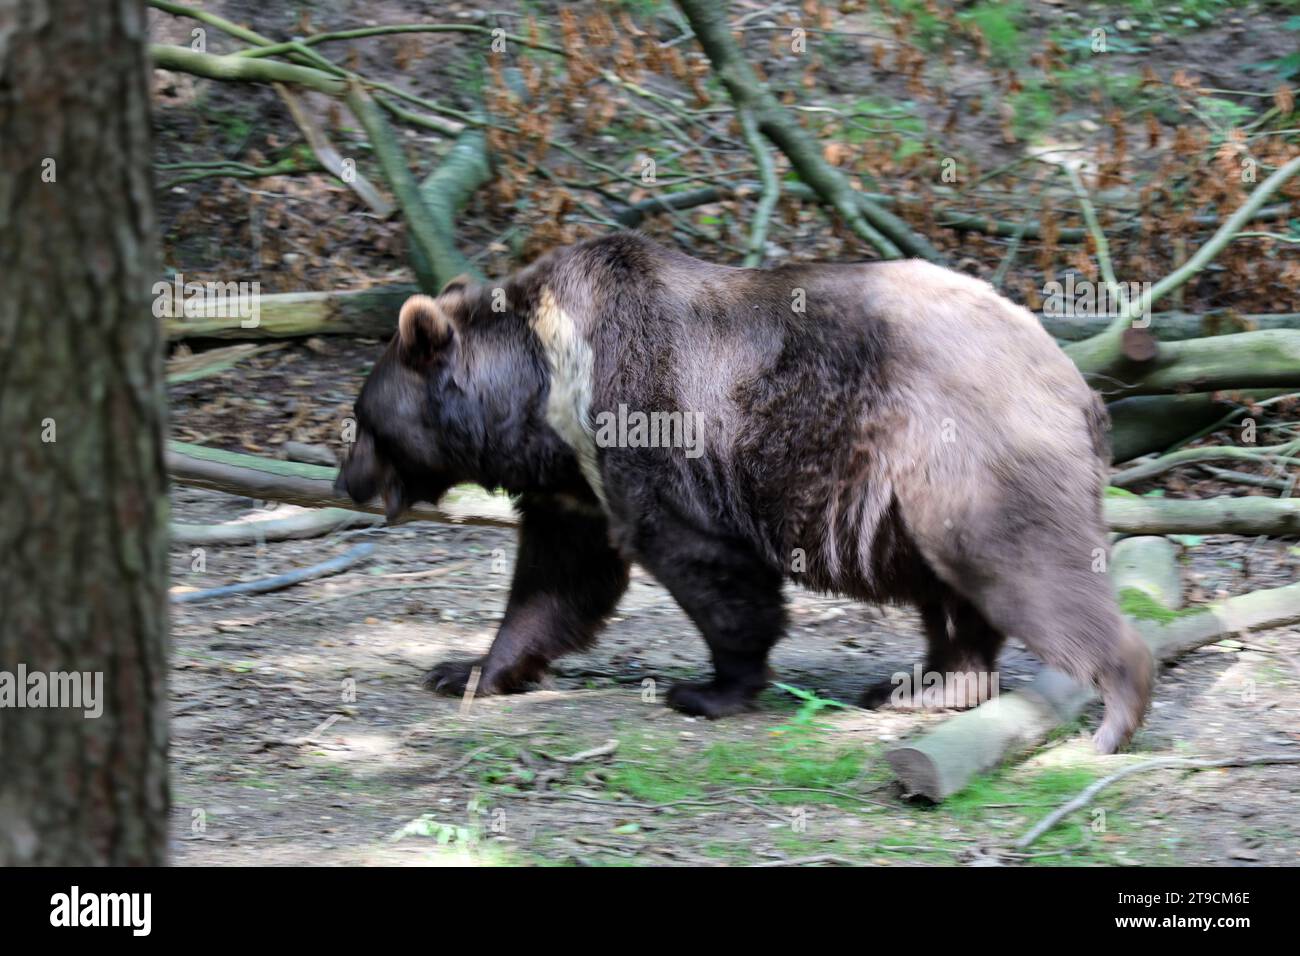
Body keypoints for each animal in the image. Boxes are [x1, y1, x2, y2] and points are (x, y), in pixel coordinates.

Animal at [335, 231, 1154, 753]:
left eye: (363, 422)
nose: (347, 481)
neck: (541, 399)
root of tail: (1079, 382)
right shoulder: (574, 483)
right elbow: (555, 581)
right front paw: (465, 670)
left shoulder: (642, 423)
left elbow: (701, 559)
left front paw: (709, 689)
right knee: (957, 598)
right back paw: (923, 687)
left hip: (966, 457)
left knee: (1024, 567)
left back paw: (1114, 706)